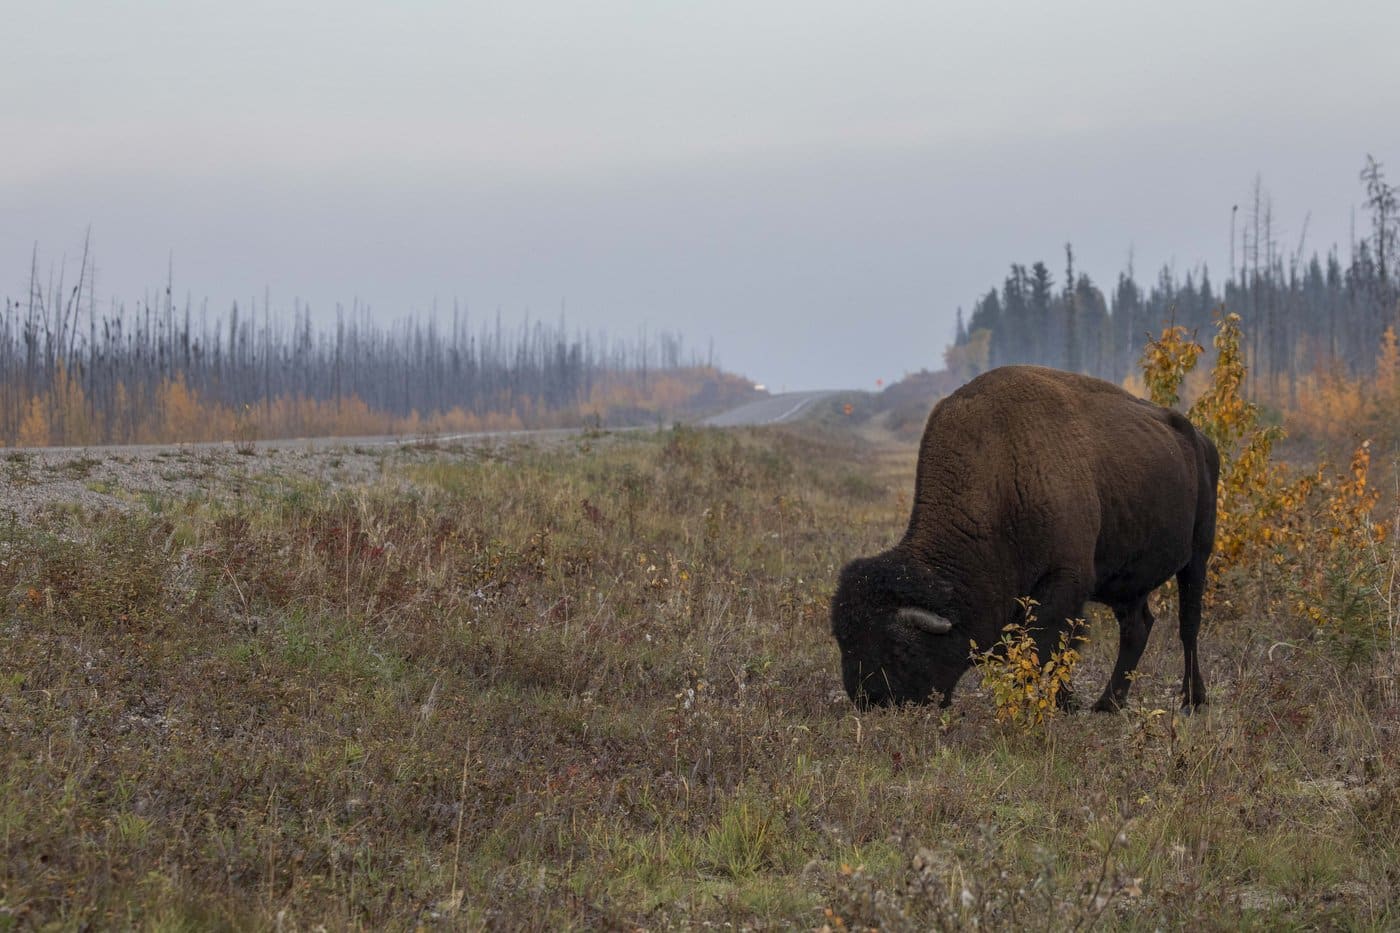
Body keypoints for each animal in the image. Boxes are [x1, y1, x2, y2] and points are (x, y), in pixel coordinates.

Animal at [831, 365, 1219, 713]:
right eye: (842, 641)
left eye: (901, 648)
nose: (870, 700)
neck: (1000, 478)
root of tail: (1201, 441)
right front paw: (1062, 702)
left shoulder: (1064, 582)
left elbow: (1047, 644)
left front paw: (1048, 701)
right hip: (1128, 581)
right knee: (1137, 628)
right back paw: (1108, 703)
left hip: (1197, 557)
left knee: (1188, 625)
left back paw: (1192, 699)